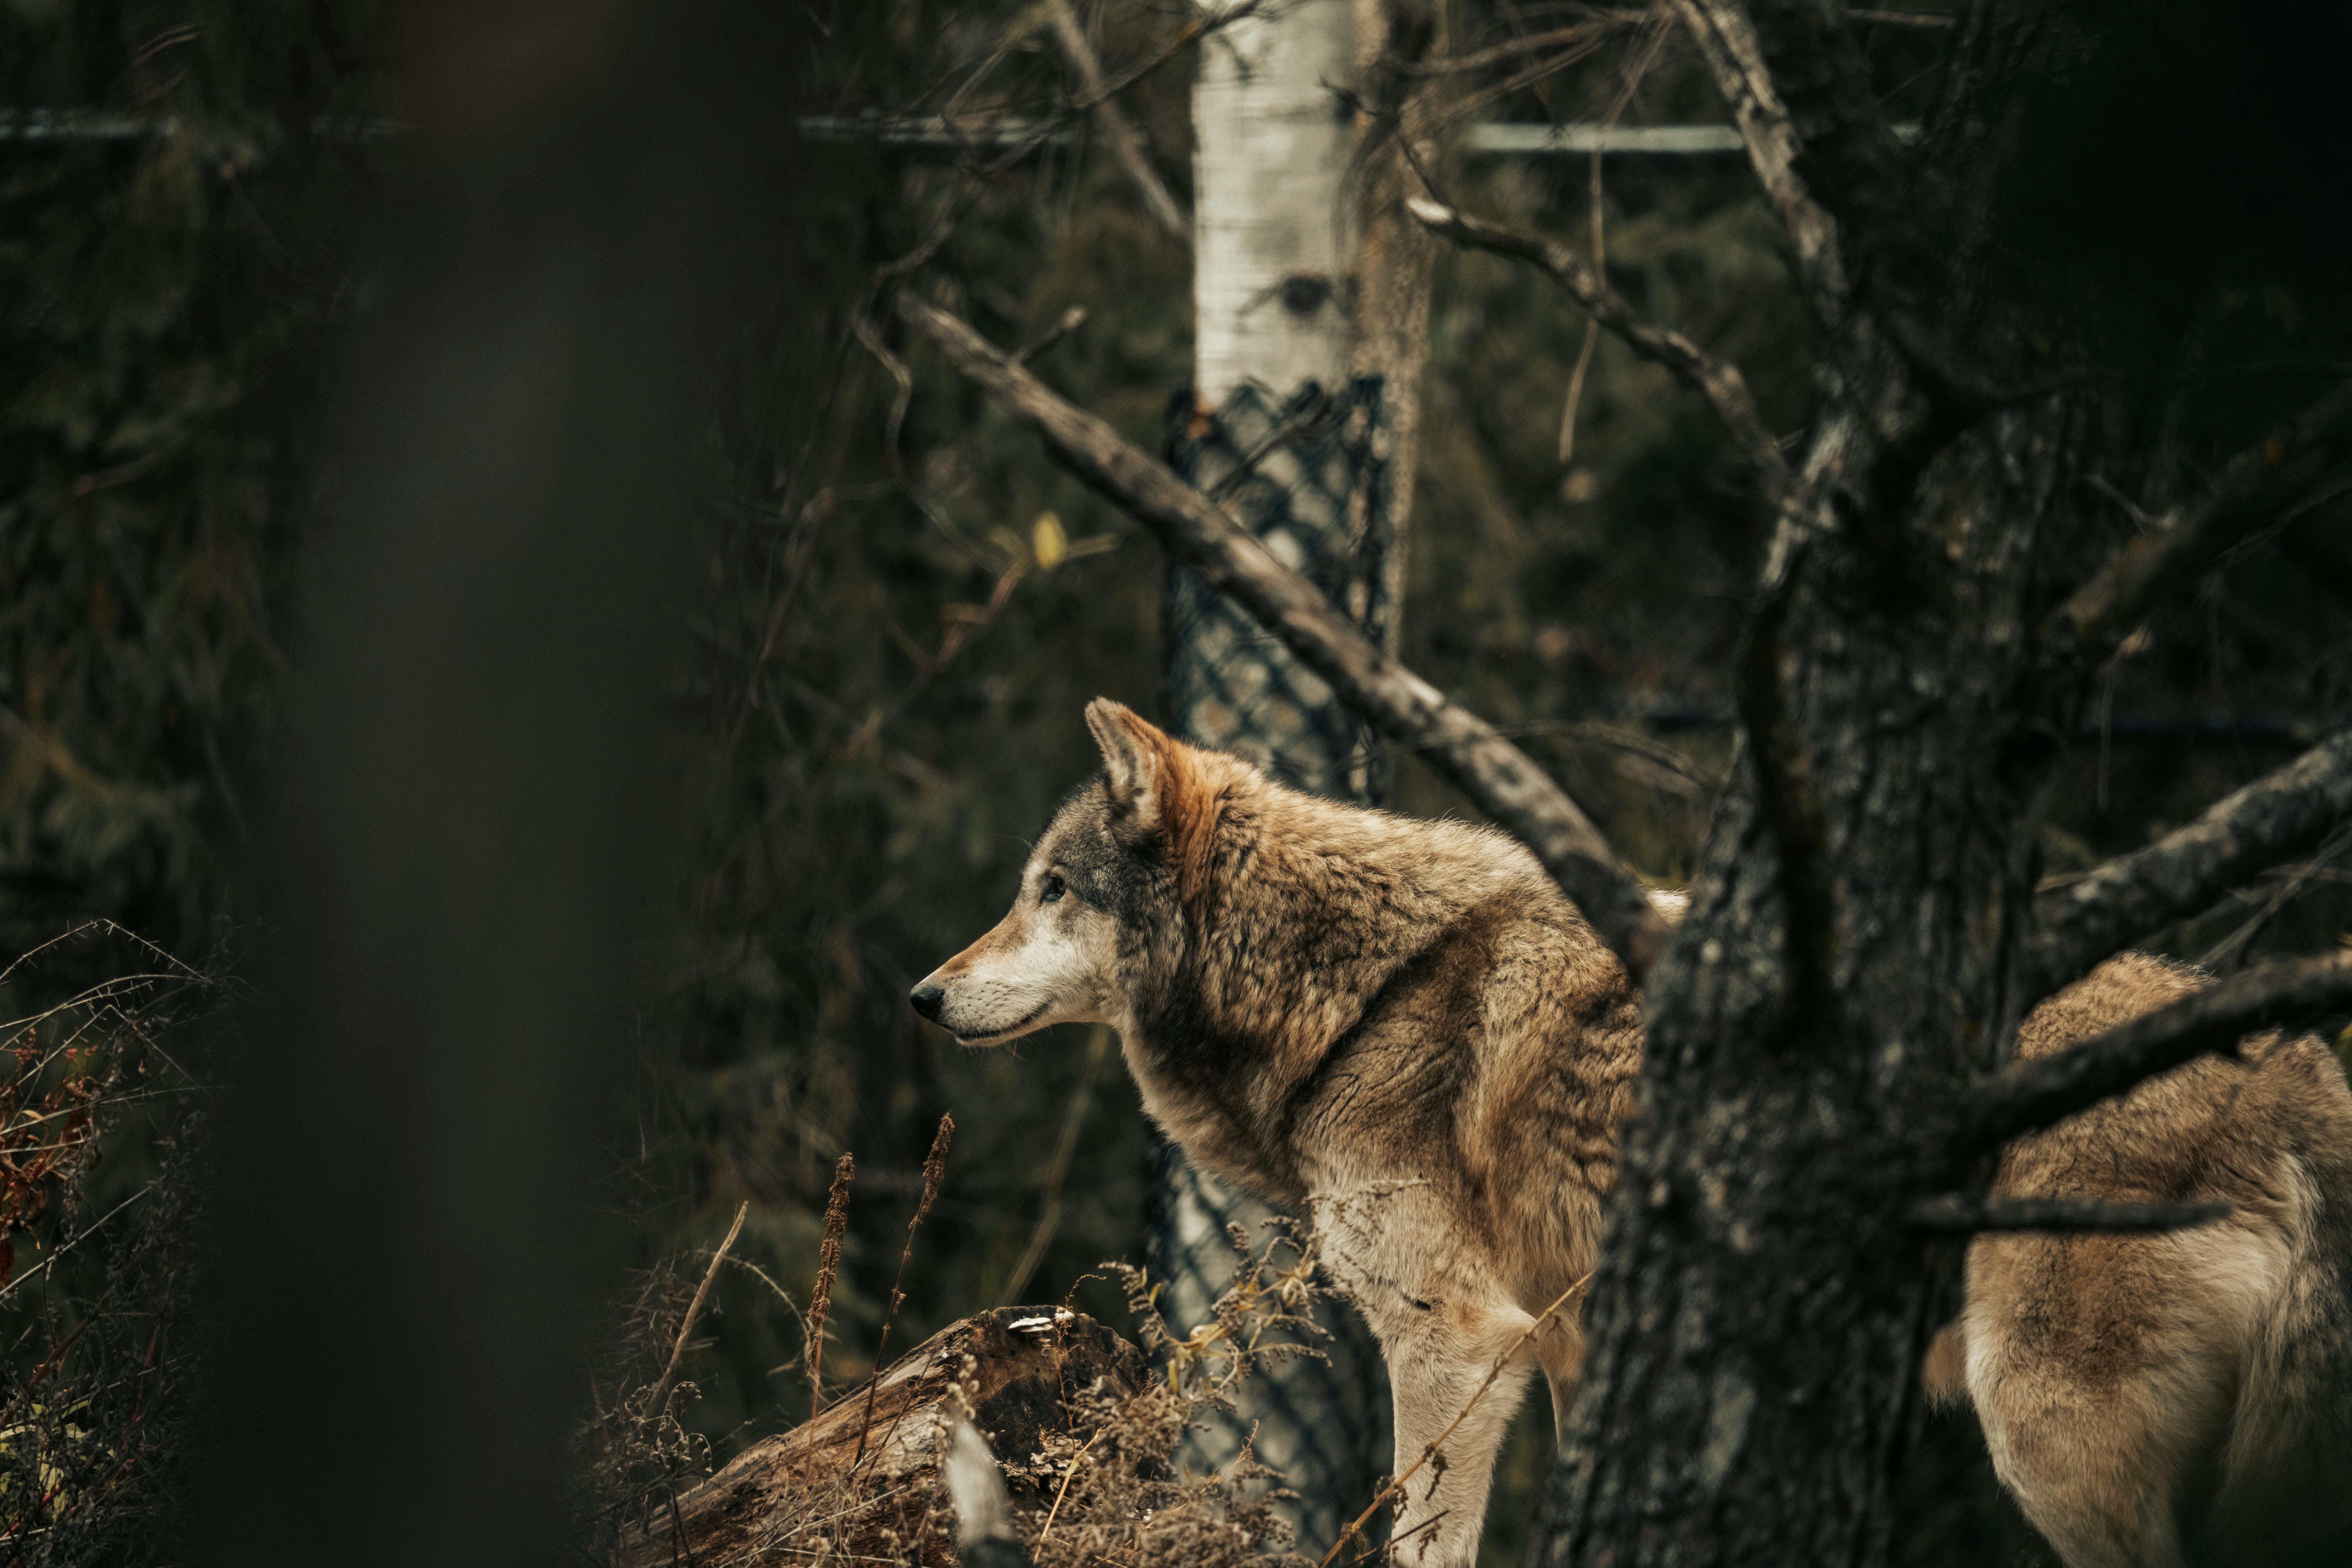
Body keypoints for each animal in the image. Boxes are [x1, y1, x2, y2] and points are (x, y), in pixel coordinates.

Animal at [912, 698, 2352, 1567]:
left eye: (1051, 890)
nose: (922, 996)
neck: (1352, 998)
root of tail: (2303, 1075)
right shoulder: (1567, 1361)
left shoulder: (1457, 1347)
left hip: (2048, 1439)